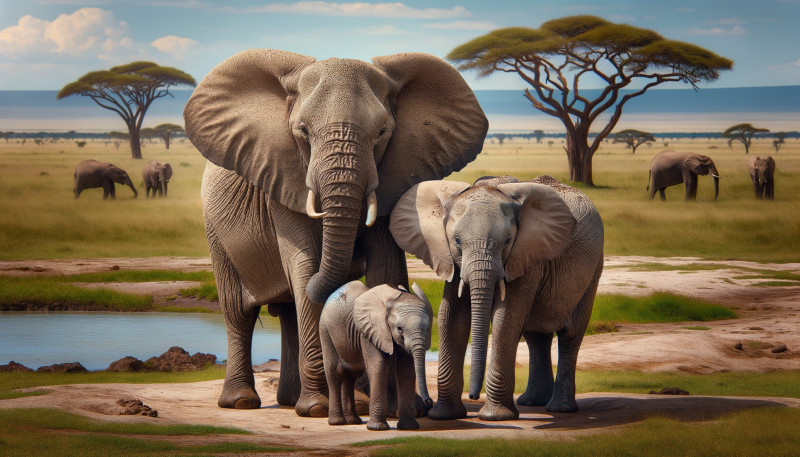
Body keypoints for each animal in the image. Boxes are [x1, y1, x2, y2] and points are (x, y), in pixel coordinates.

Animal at [320, 281, 433, 430]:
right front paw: (377, 428)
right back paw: (337, 422)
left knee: (351, 374)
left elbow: (406, 370)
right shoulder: (368, 331)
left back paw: (353, 421)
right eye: (399, 328)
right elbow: (378, 367)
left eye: (427, 329)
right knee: (335, 373)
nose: (430, 401)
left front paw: (408, 427)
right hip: (325, 329)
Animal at [389, 175, 604, 421]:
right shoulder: (451, 259)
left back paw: (559, 408)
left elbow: (506, 319)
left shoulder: (525, 257)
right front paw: (444, 415)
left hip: (593, 270)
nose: (473, 395)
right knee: (536, 336)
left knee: (570, 335)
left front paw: (494, 417)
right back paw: (533, 402)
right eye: (457, 241)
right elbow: (452, 319)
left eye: (508, 240)